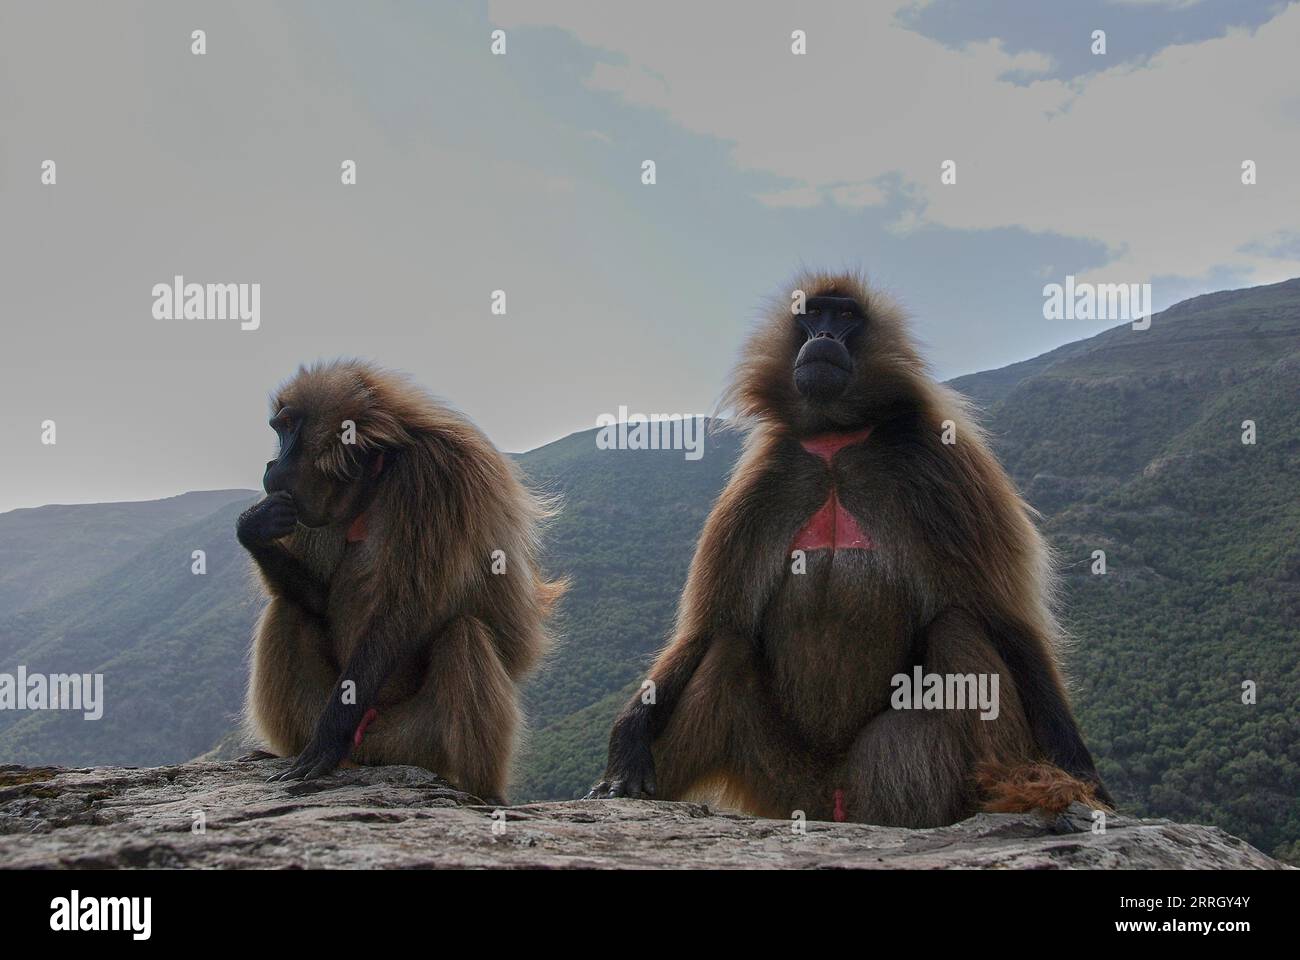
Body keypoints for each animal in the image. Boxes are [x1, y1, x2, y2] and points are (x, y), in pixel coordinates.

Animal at [235, 359, 564, 803]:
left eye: (288, 428)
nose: (271, 467)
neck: (377, 470)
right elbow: (319, 601)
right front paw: (254, 527)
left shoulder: (437, 474)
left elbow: (405, 610)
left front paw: (328, 738)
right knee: (288, 610)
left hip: (414, 742)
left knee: (463, 636)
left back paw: (483, 794)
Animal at [586, 272, 1111, 826]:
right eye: (813, 313)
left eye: (845, 316)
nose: (824, 338)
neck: (835, 441)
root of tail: (830, 802)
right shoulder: (764, 479)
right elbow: (709, 628)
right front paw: (626, 742)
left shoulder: (943, 465)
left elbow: (1006, 623)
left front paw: (1081, 771)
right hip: (783, 784)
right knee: (729, 649)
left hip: (897, 772)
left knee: (958, 627)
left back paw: (1014, 788)